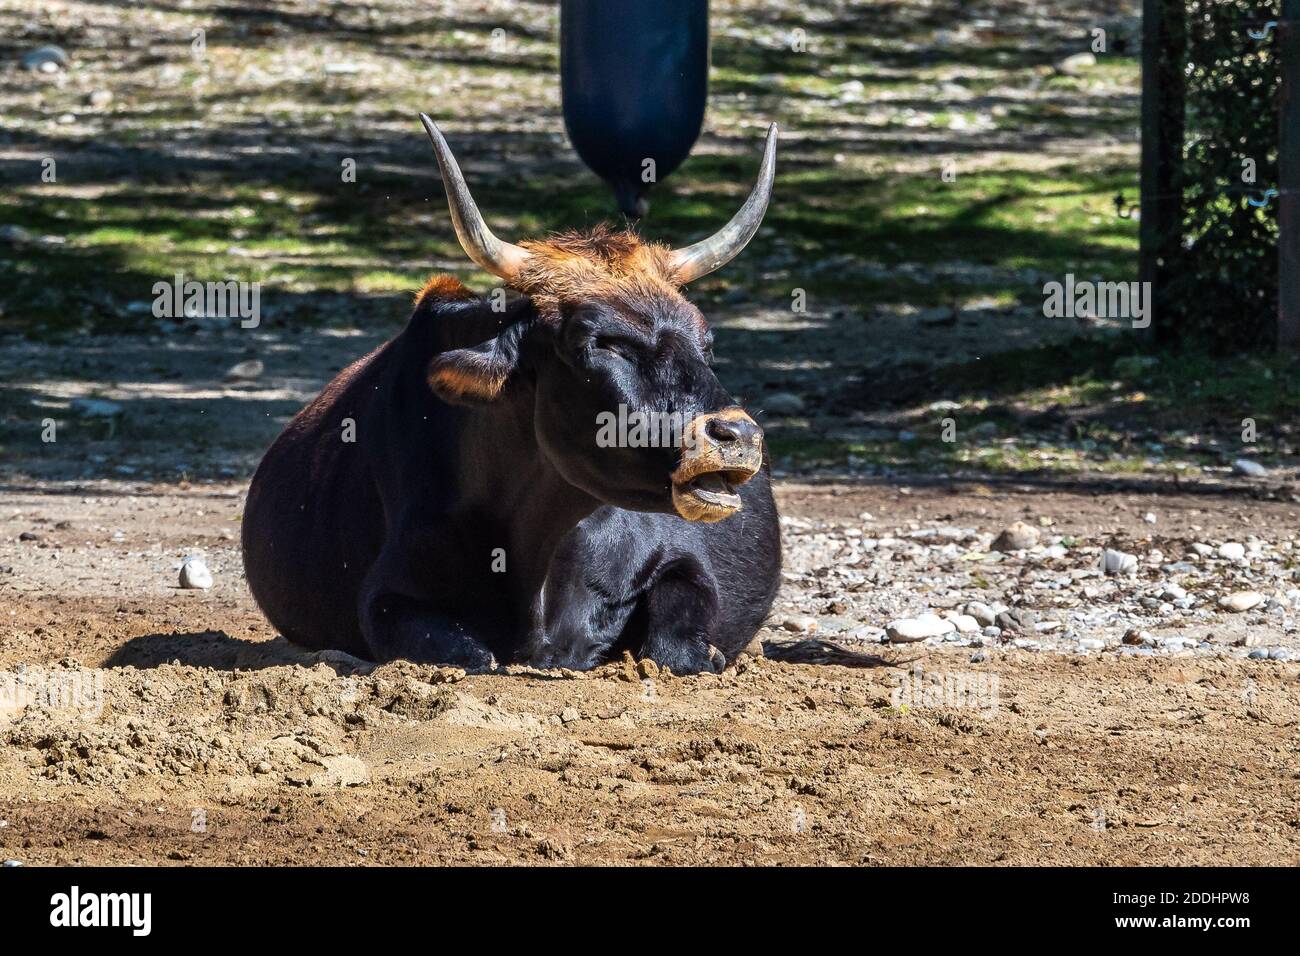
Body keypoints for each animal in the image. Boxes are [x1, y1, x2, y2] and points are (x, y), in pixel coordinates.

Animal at [240, 115, 782, 674]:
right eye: (598, 341)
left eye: (705, 340)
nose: (736, 436)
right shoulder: (388, 596)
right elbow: (470, 654)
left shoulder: (683, 561)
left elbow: (679, 645)